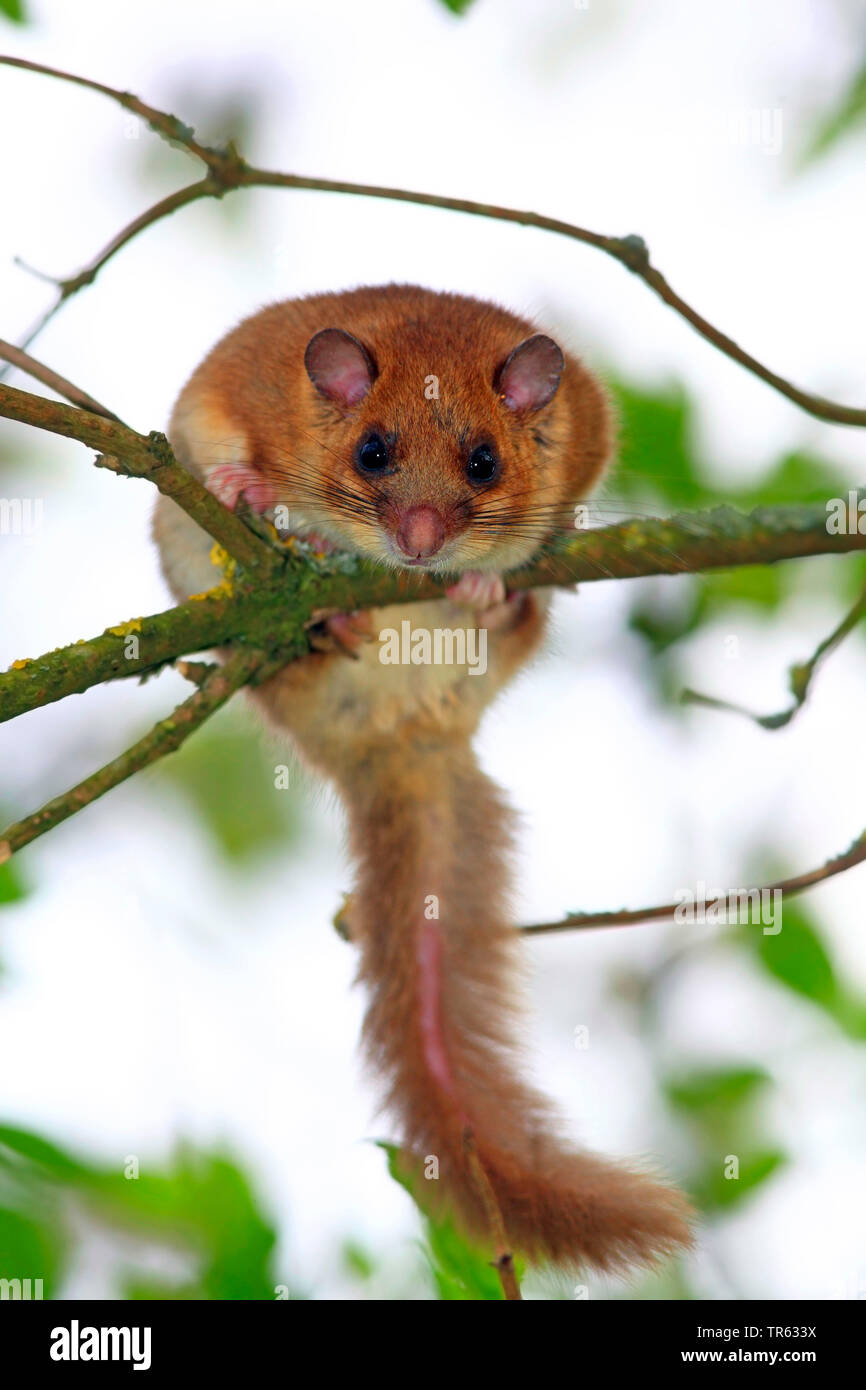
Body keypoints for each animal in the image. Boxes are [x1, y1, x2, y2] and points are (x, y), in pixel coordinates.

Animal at [153, 284, 693, 1275]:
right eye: (372, 451)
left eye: (484, 463)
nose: (419, 547)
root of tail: (404, 738)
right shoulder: (226, 394)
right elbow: (216, 448)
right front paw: (248, 488)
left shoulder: (590, 431)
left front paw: (496, 576)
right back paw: (327, 619)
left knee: (515, 623)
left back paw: (491, 603)